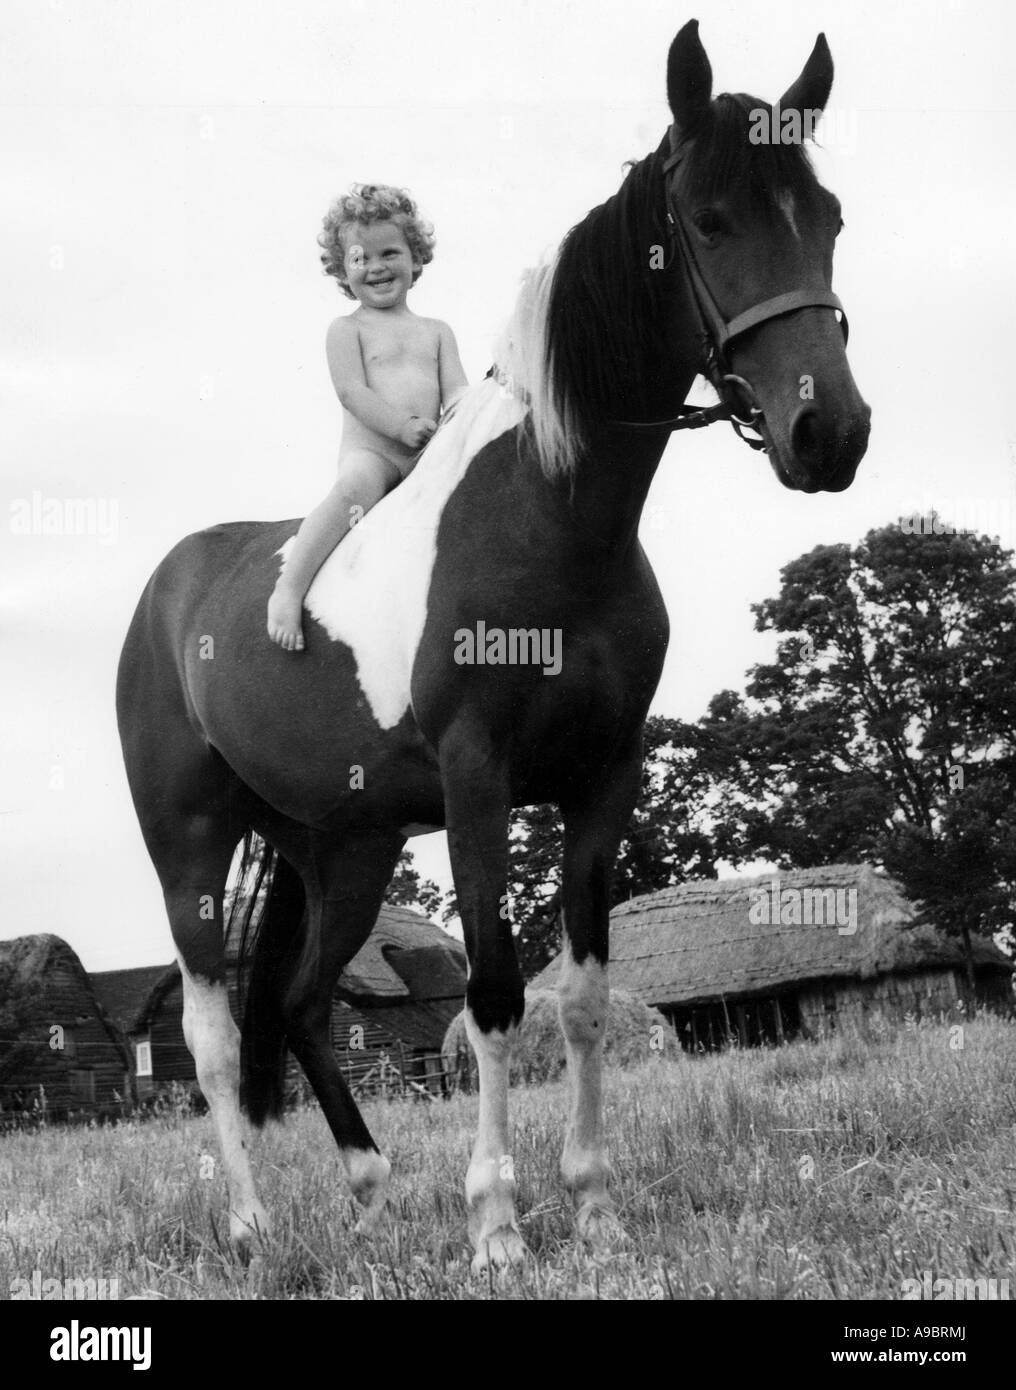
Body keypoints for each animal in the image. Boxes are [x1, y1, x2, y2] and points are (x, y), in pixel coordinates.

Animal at [116, 19, 870, 1272]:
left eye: (827, 216)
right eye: (709, 219)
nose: (831, 431)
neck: (546, 519)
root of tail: (163, 592)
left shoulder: (601, 782)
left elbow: (582, 998)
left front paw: (595, 1206)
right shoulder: (478, 784)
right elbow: (493, 998)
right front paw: (498, 1222)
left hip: (347, 848)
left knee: (300, 1004)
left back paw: (371, 1190)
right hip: (190, 851)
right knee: (215, 1034)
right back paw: (254, 1223)